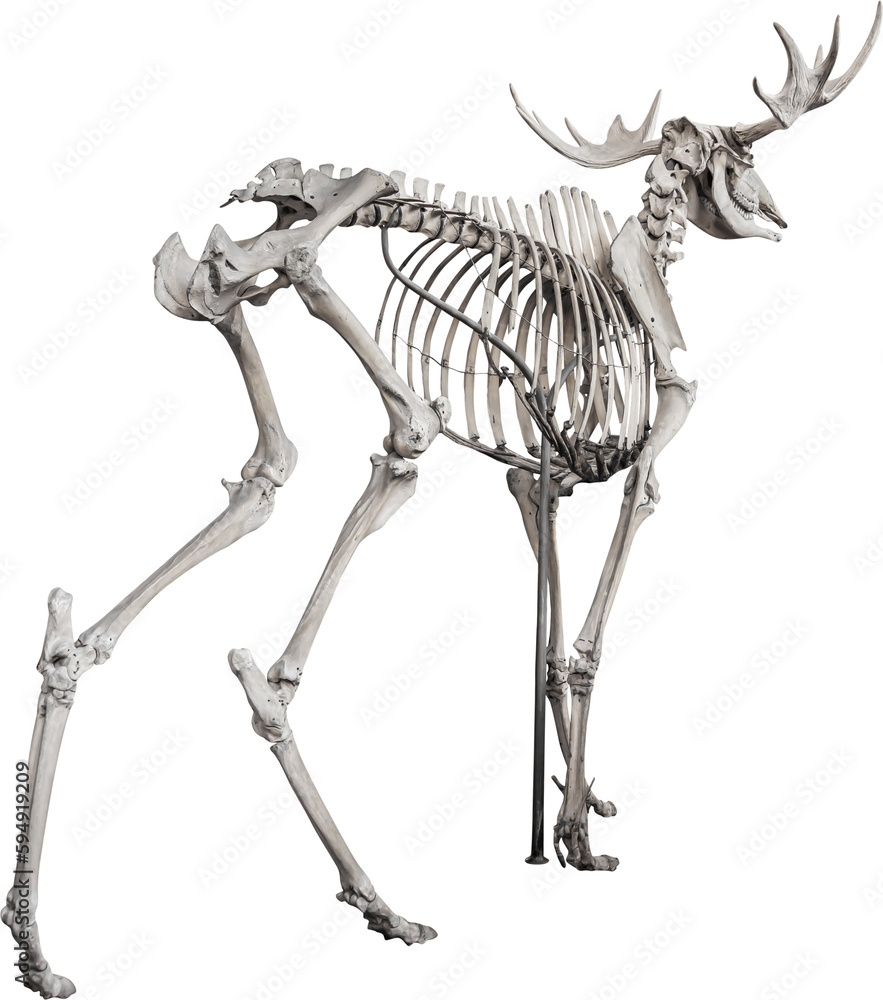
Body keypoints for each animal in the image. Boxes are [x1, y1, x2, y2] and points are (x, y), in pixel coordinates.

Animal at [4, 7, 879, 997]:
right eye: (737, 155)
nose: (777, 217)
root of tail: (286, 192)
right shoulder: (653, 435)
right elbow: (593, 624)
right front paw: (573, 836)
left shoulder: (536, 470)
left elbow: (547, 635)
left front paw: (577, 809)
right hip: (343, 304)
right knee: (383, 437)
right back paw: (382, 900)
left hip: (226, 298)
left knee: (258, 463)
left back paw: (39, 948)